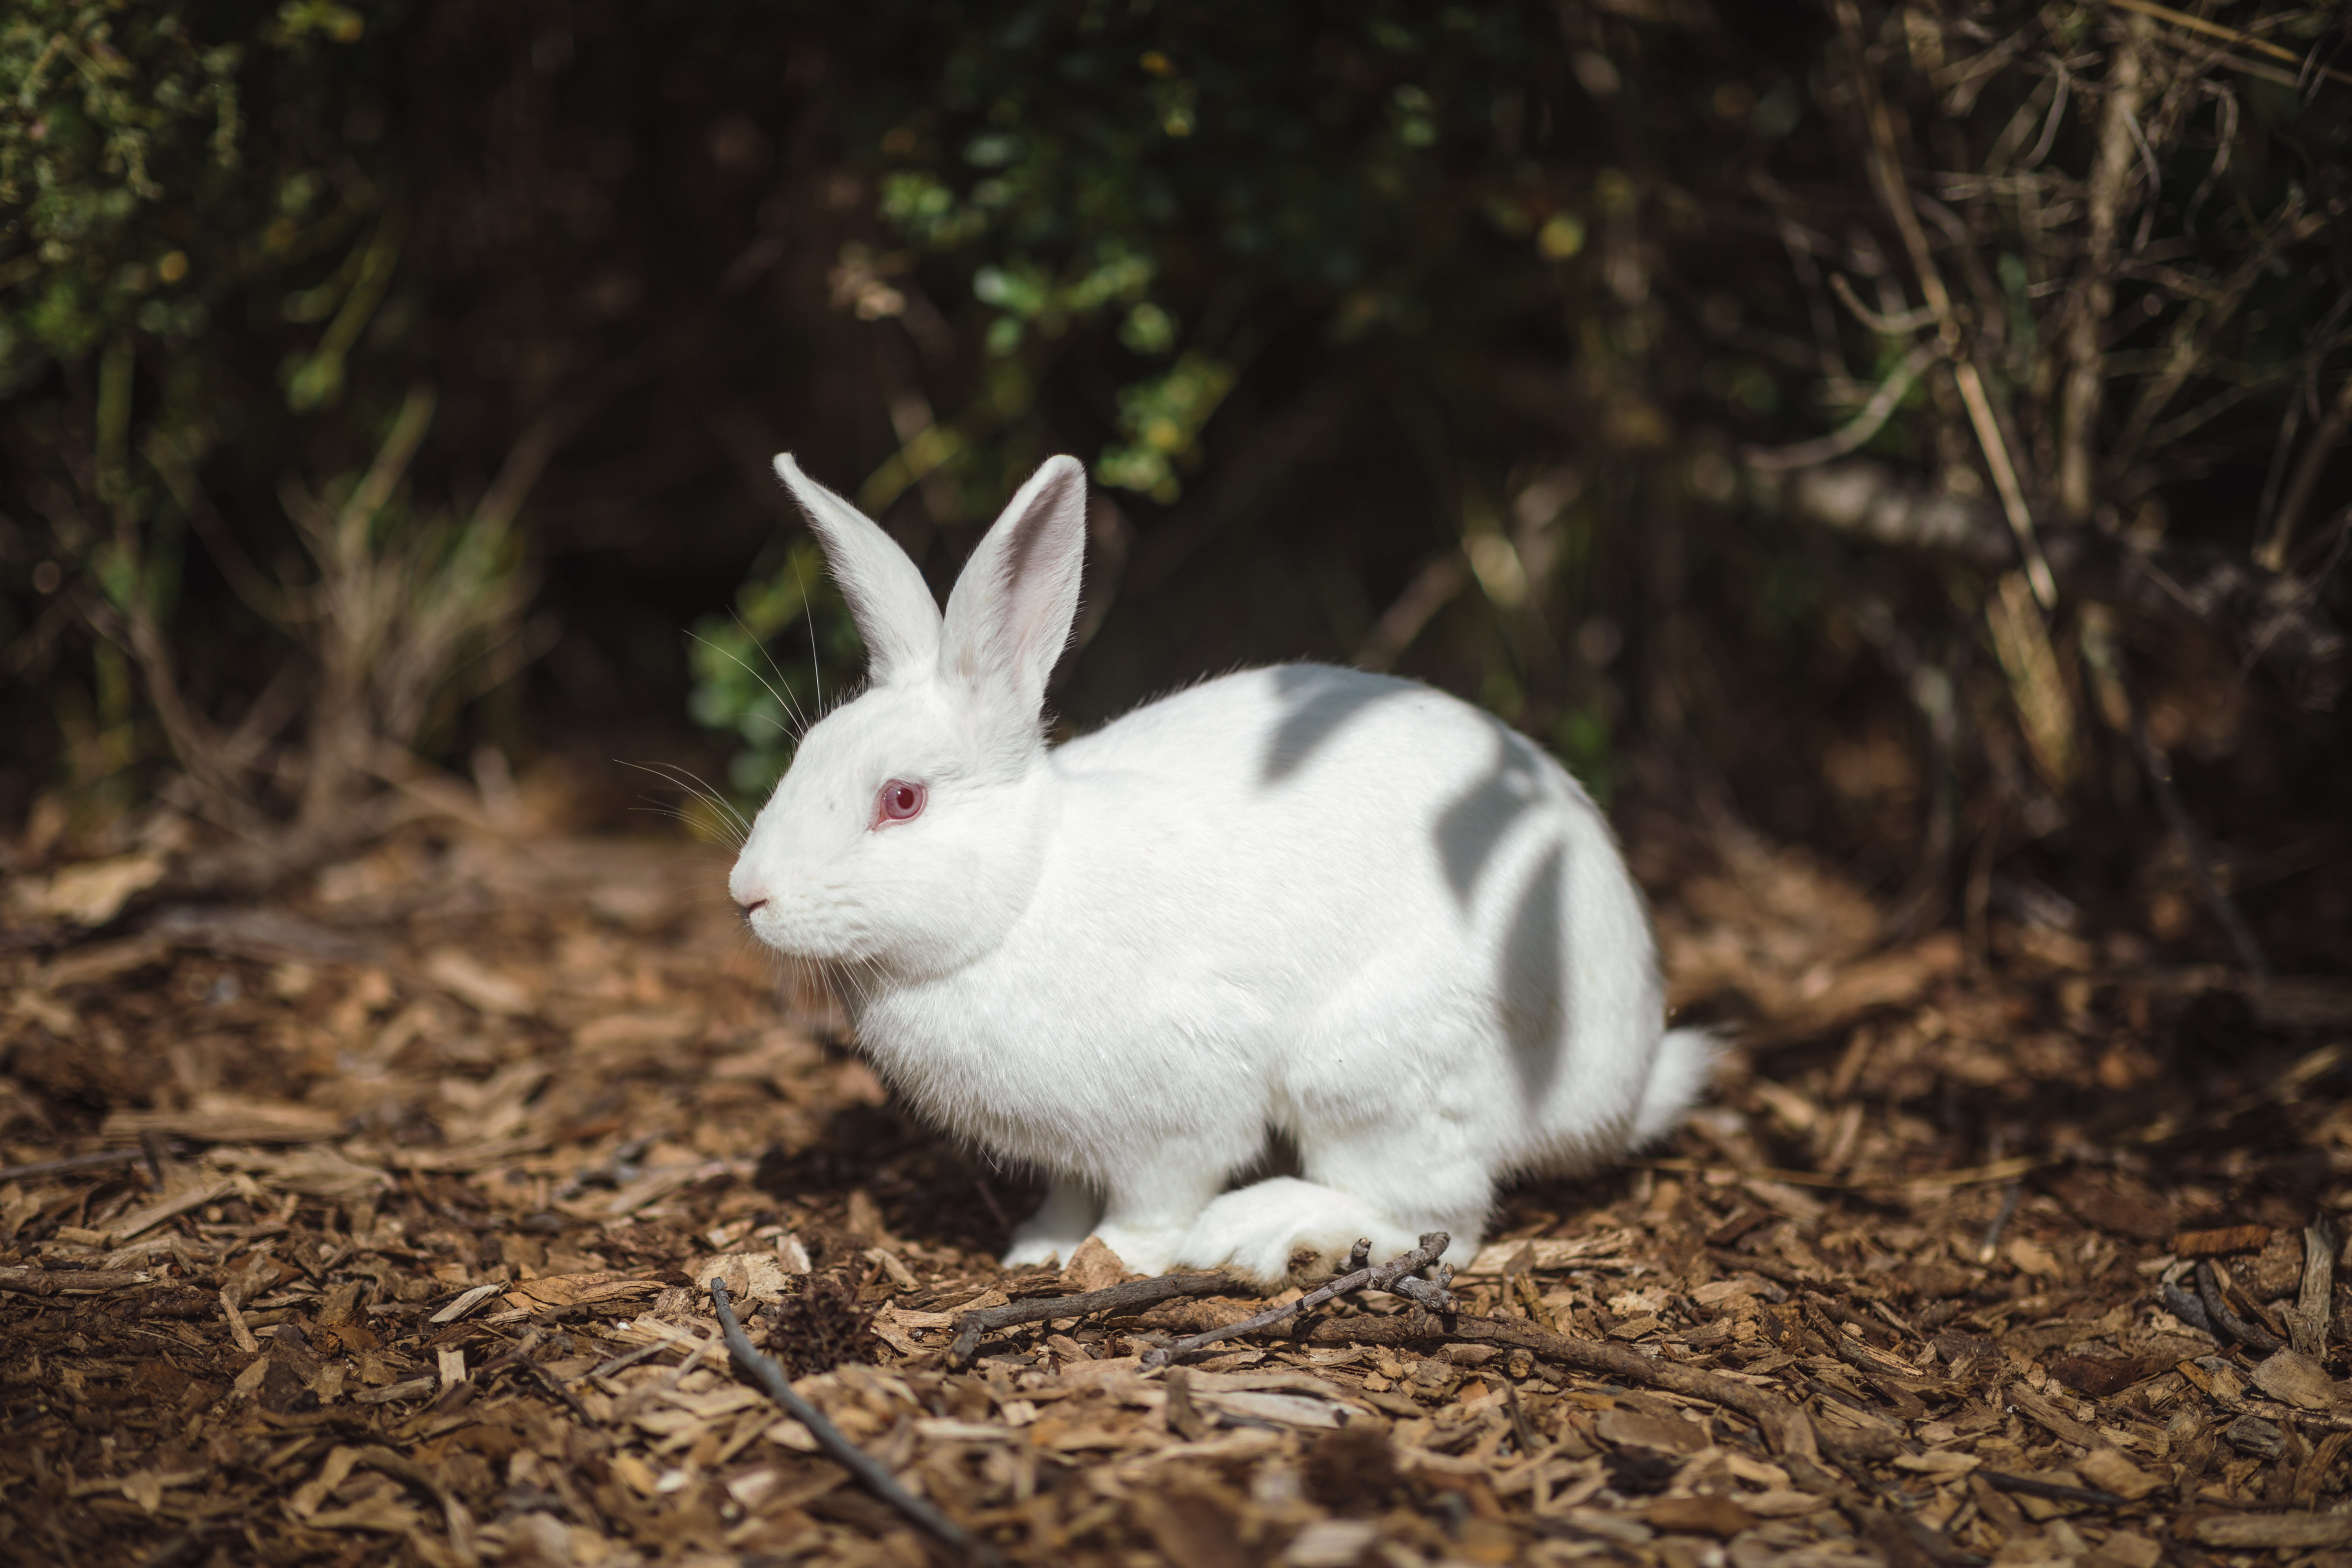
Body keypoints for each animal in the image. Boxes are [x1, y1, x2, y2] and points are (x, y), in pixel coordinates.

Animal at [729, 452, 1713, 1285]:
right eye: (806, 753)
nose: (748, 896)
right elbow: (1066, 1193)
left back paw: (1260, 1229)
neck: (1022, 896)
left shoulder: (1177, 1116)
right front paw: (1037, 1250)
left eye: (901, 799)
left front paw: (1112, 1258)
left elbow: (1153, 1203)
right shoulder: (1067, 1151)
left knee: (1438, 1221)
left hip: (1376, 1077)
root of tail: (1620, 1084)